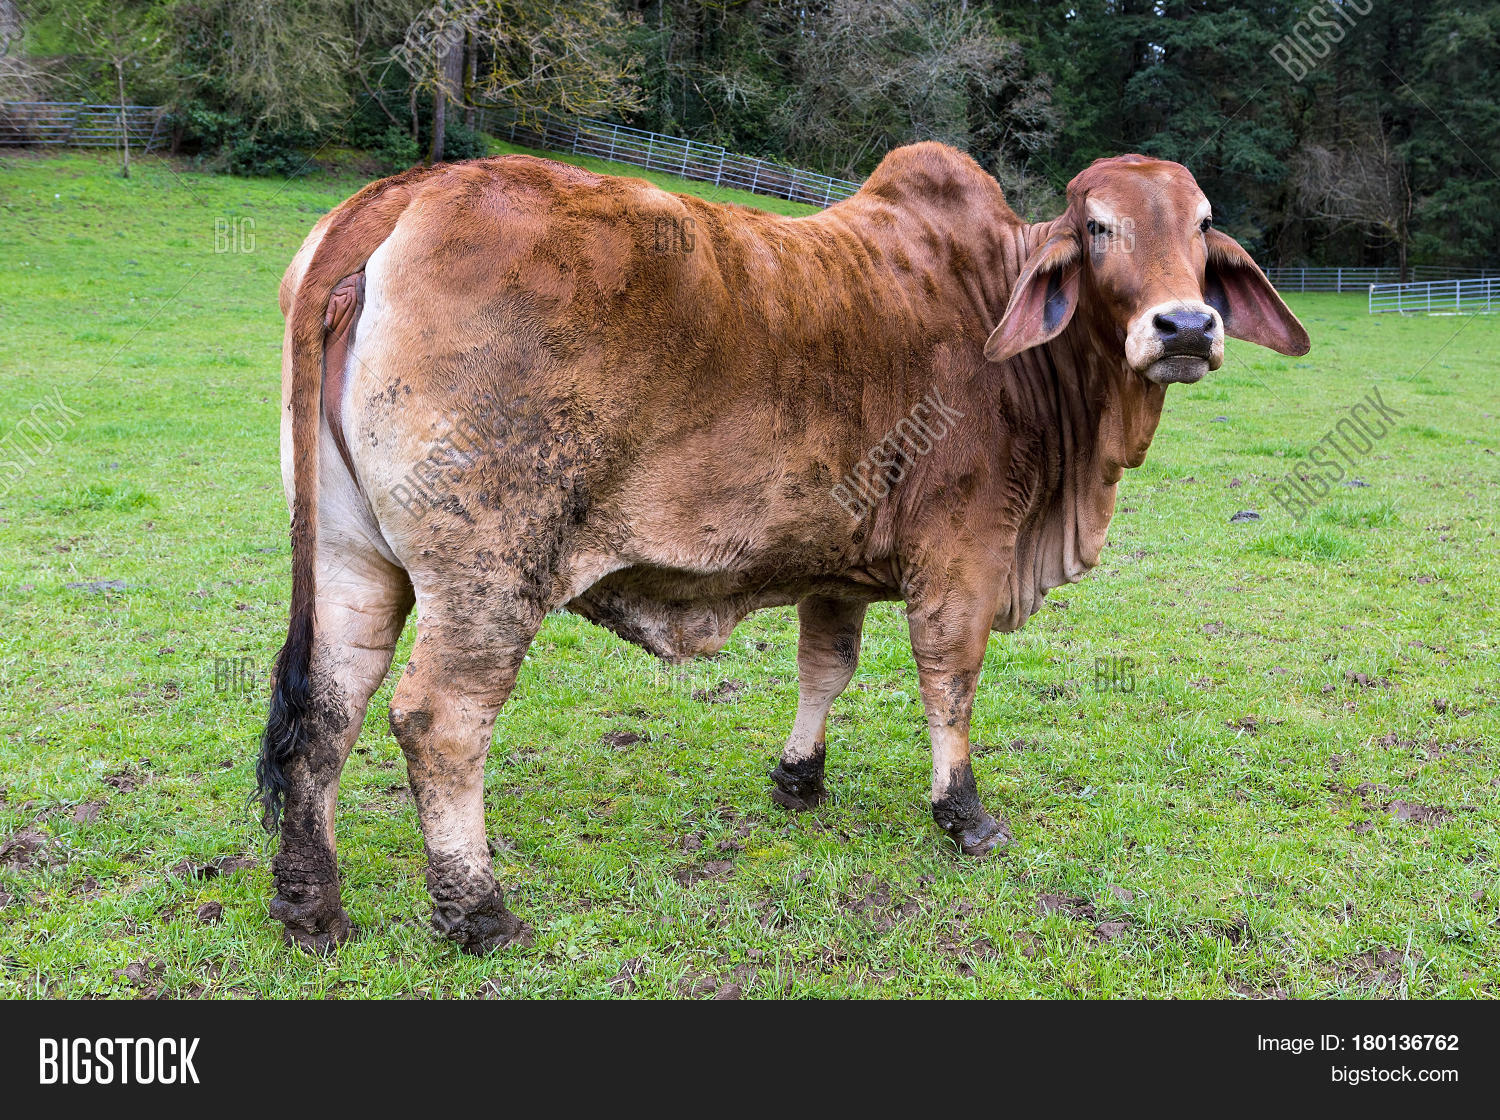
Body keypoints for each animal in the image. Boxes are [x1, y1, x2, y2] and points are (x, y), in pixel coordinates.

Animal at [257, 143, 1308, 954]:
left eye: (1204, 225)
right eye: (1097, 228)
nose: (1186, 325)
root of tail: (409, 191)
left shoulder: (831, 566)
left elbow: (826, 667)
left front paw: (801, 778)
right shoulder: (963, 554)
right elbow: (950, 681)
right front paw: (963, 813)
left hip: (354, 560)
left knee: (328, 710)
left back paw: (312, 906)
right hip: (488, 572)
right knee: (440, 721)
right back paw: (479, 913)